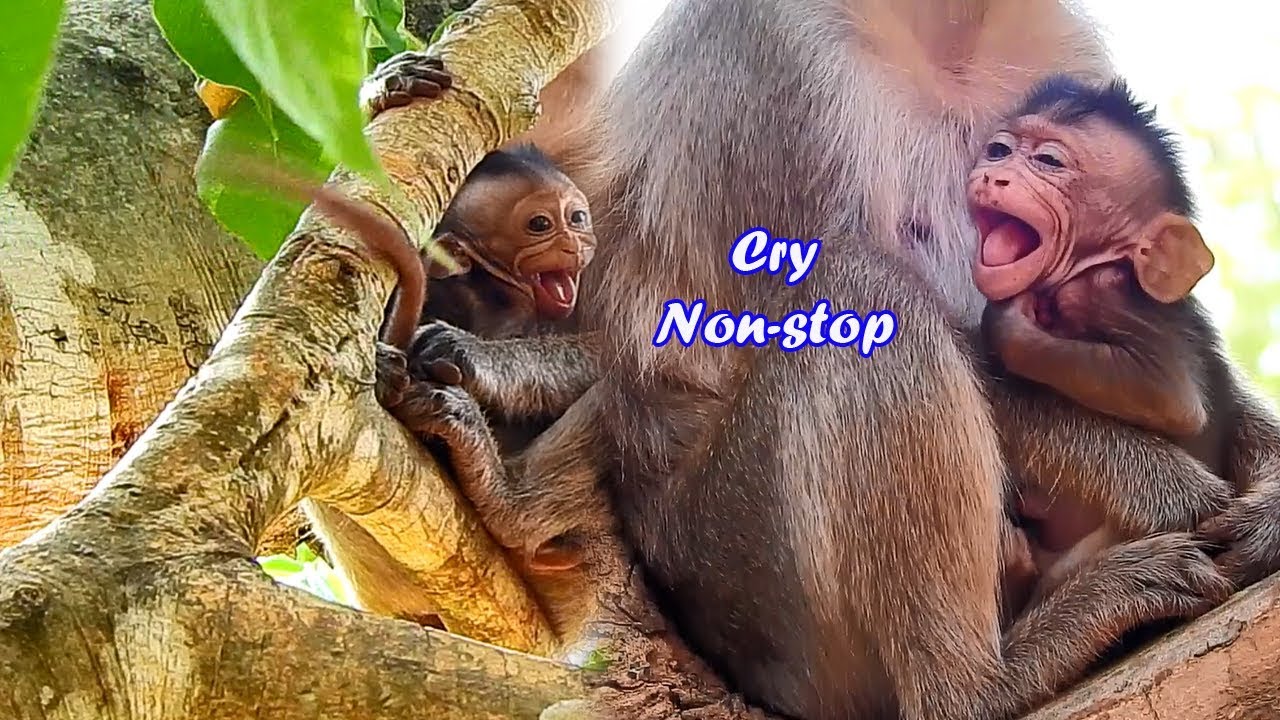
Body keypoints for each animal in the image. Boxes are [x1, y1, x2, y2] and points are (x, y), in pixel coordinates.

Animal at [971, 75, 1280, 602]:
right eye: (999, 150)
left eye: (1049, 161)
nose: (994, 173)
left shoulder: (1102, 292)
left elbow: (1170, 397)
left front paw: (1004, 324)